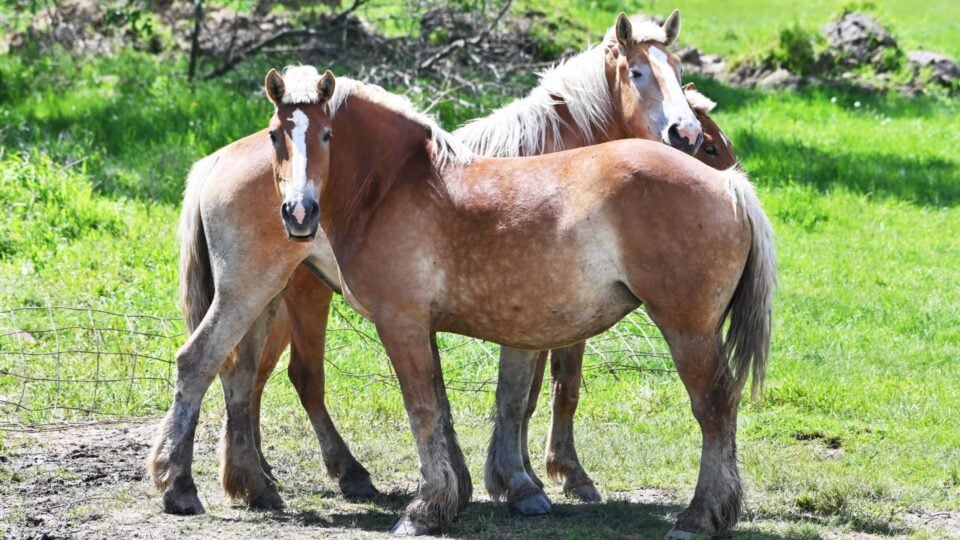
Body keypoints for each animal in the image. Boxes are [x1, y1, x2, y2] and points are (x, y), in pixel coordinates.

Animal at [148, 10, 719, 516]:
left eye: (678, 71)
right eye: (638, 72)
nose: (685, 136)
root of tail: (215, 161)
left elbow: (532, 391)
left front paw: (517, 478)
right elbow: (542, 389)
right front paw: (537, 479)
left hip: (272, 300)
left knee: (244, 376)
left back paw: (259, 483)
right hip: (259, 292)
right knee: (221, 366)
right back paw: (190, 485)